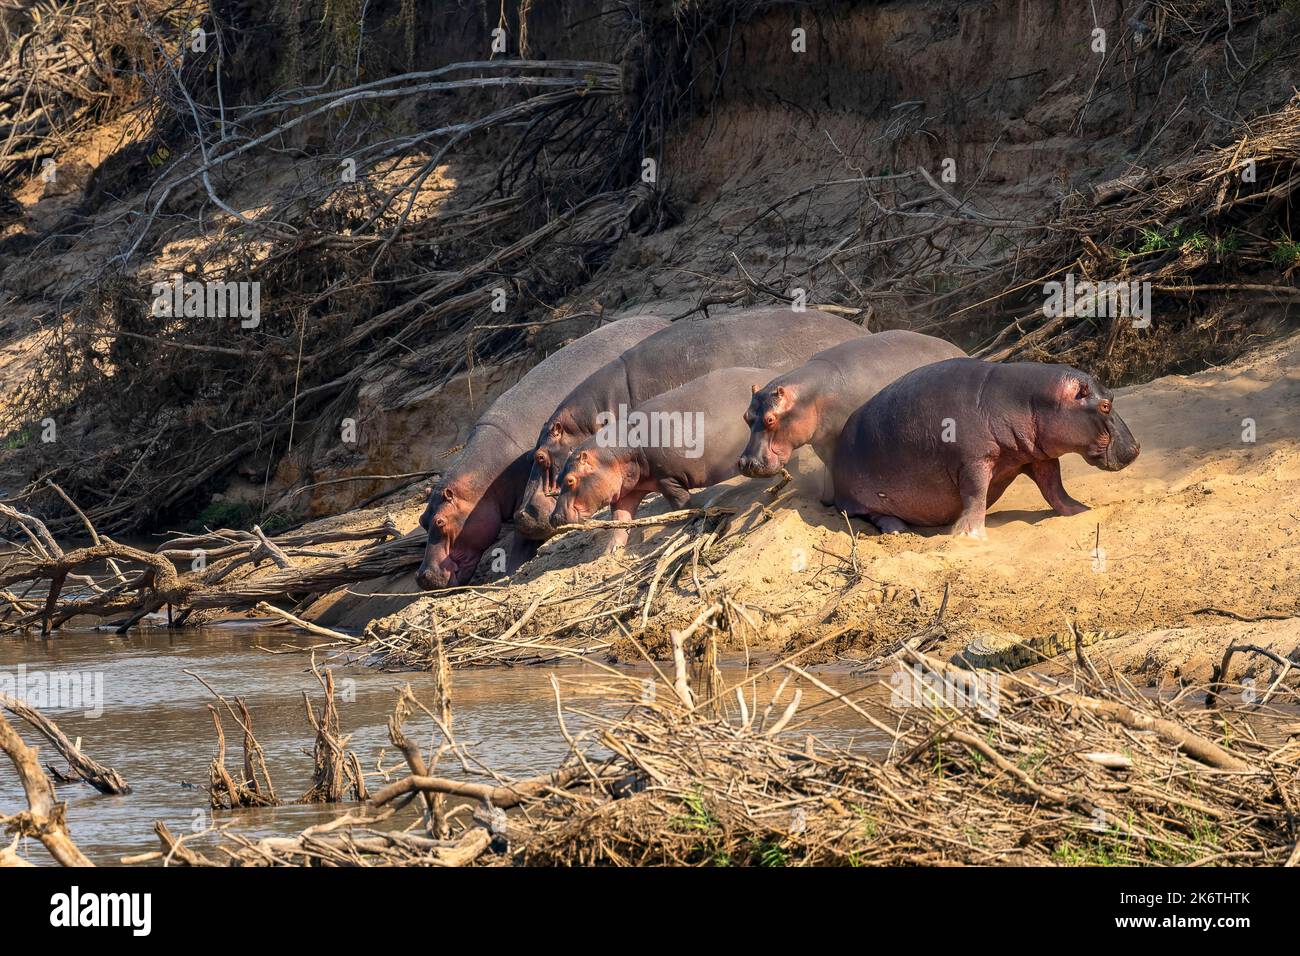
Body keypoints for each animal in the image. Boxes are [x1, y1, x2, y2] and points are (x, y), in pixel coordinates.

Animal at [415, 315, 669, 589]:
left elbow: (521, 539)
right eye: (422, 521)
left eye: (440, 521)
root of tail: (659, 319)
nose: (423, 576)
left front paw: (510, 571)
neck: (481, 483)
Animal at [549, 367, 774, 551]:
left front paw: (684, 518)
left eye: (570, 479)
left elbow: (680, 502)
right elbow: (621, 520)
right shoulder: (627, 491)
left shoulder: (667, 478)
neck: (617, 452)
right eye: (558, 479)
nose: (553, 517)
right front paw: (611, 551)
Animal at [737, 330, 966, 503]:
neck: (811, 396)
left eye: (770, 419)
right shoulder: (823, 442)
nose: (746, 463)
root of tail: (959, 350)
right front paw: (827, 500)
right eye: (746, 416)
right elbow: (830, 467)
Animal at [832, 358, 1140, 539]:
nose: (1136, 448)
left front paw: (1082, 510)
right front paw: (969, 535)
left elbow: (1055, 488)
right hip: (856, 497)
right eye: (1105, 406)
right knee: (869, 513)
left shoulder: (1037, 456)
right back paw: (897, 529)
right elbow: (975, 495)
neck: (1027, 400)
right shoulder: (973, 461)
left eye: (1112, 395)